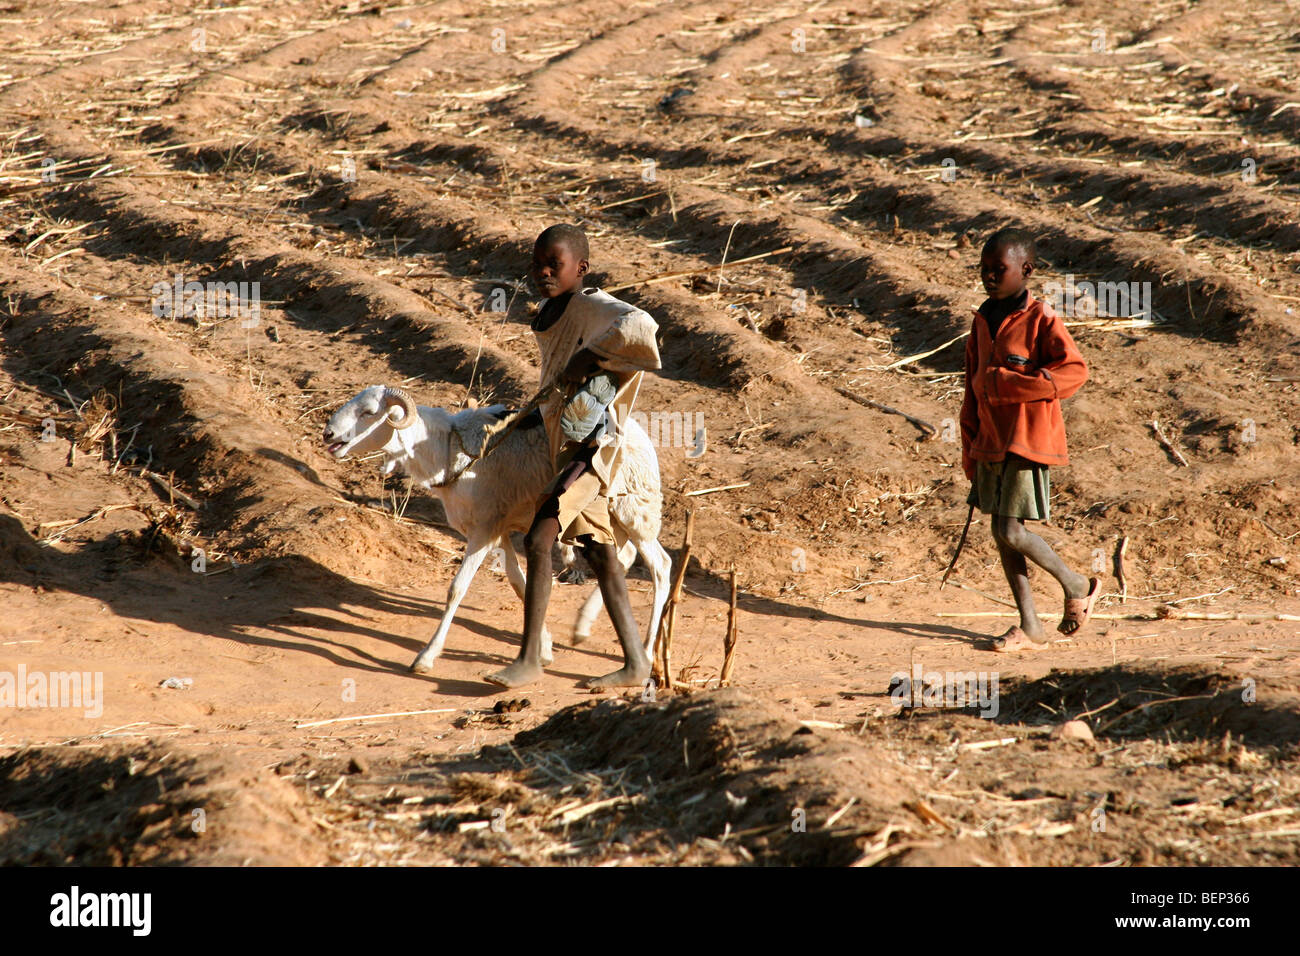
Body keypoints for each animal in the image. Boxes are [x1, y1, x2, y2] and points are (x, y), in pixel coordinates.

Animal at [323, 386, 671, 675]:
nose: (328, 434)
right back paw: (583, 627)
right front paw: (544, 648)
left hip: (635, 508)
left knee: (660, 566)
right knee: (625, 556)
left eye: (369, 412)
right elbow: (520, 583)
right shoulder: (498, 529)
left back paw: (647, 653)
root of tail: (640, 433)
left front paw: (426, 657)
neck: (446, 450)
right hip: (610, 514)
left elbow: (456, 590)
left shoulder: (483, 530)